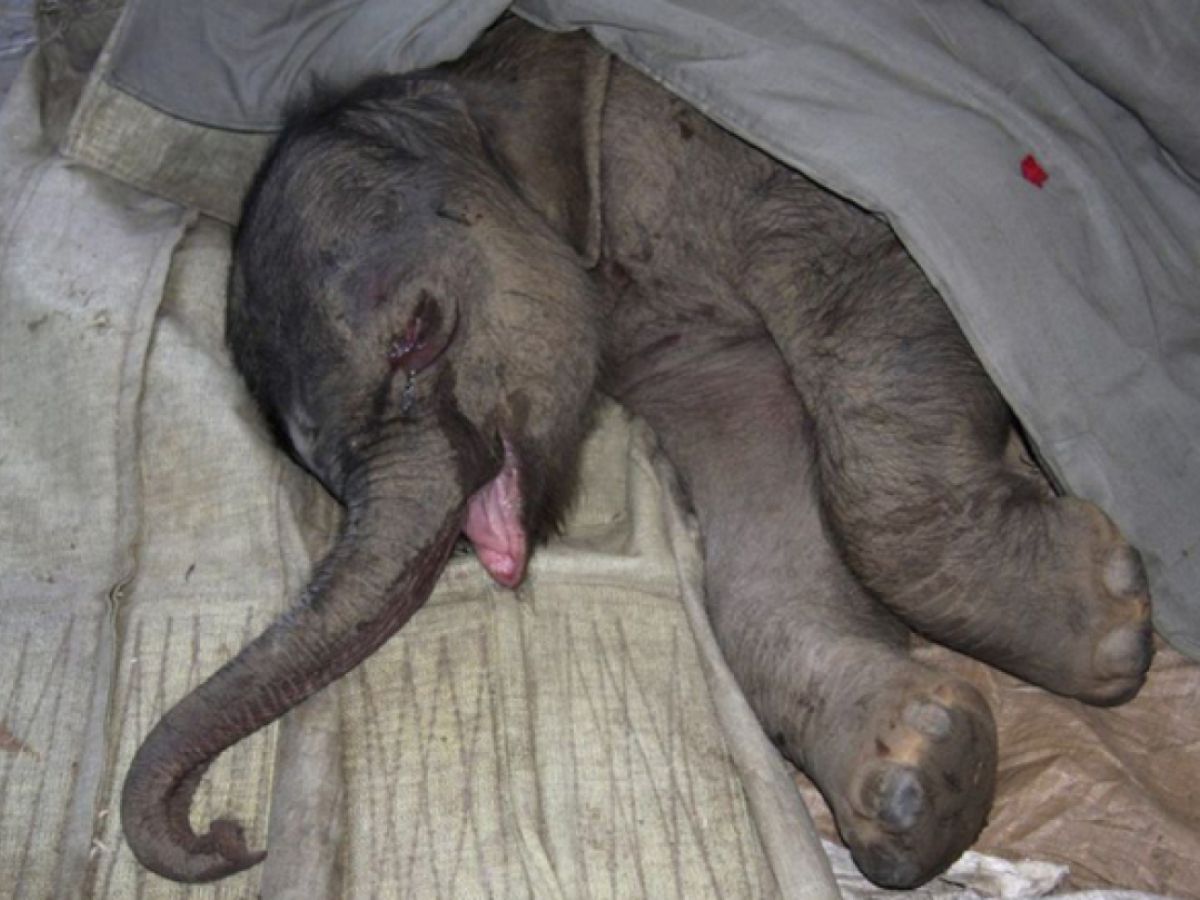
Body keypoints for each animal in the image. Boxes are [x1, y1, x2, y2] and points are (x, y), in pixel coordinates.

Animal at [121, 17, 1155, 889]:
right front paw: (918, 780)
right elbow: (763, 490)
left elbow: (871, 299)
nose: (231, 833)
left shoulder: (771, 171)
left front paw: (1115, 624)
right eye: (316, 468)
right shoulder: (680, 353)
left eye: (417, 334)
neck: (470, 83)